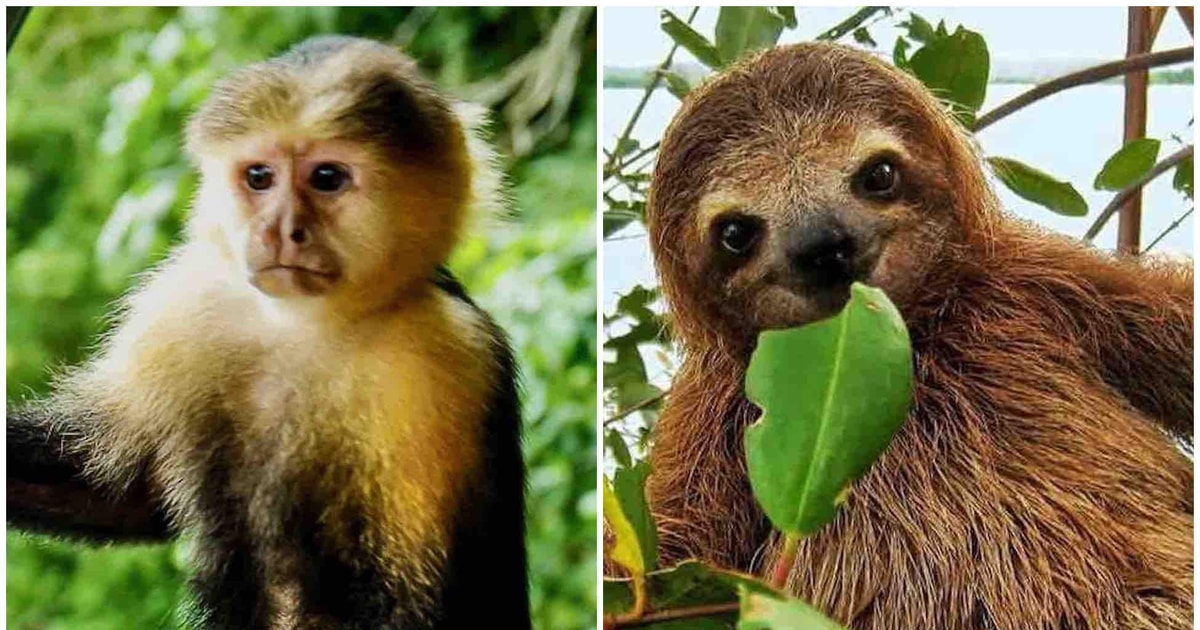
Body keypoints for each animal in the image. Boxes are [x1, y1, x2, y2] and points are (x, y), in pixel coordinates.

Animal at [7, 36, 529, 629]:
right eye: (260, 177)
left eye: (327, 178)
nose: (280, 230)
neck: (306, 325)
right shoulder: (187, 297)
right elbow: (120, 490)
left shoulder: (445, 357)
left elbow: (412, 604)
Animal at [640, 42, 1193, 630]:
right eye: (735, 233)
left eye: (879, 173)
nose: (822, 243)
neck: (906, 338)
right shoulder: (715, 409)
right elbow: (679, 540)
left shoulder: (1043, 284)